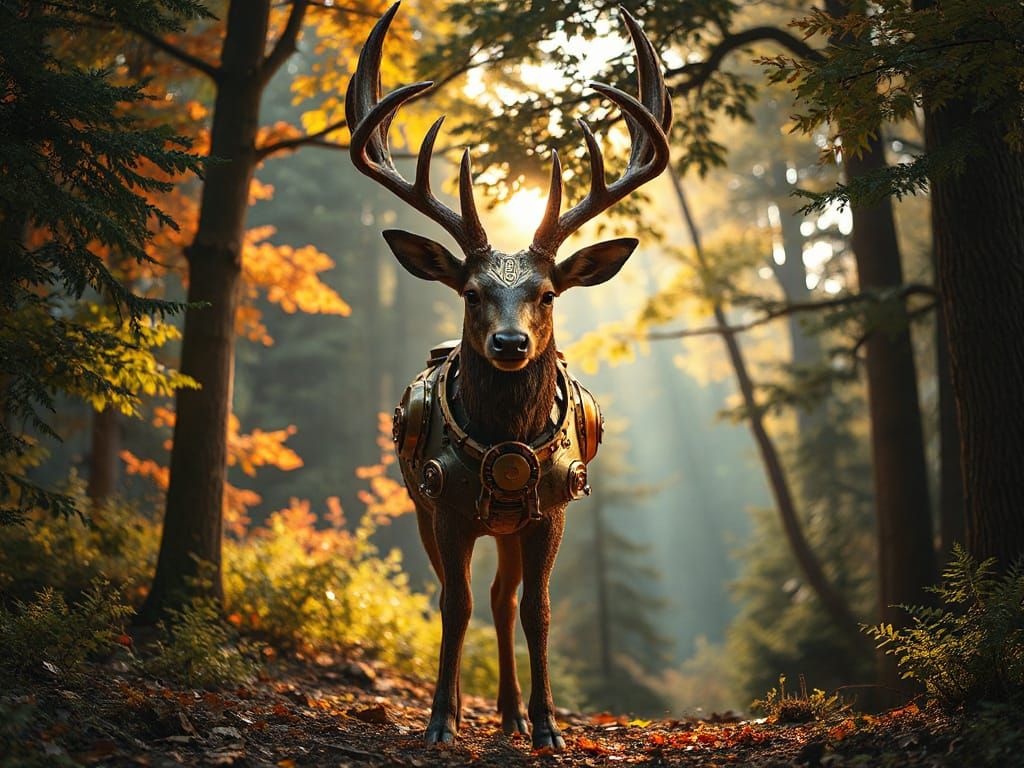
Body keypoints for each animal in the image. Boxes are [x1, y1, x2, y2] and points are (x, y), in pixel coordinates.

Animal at [345, 2, 671, 751]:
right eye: (471, 293)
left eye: (547, 294)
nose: (510, 341)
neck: (503, 443)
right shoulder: (445, 504)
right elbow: (453, 604)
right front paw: (441, 720)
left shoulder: (551, 509)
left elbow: (537, 611)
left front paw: (549, 727)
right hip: (426, 507)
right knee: (471, 597)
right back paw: (484, 710)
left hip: (513, 522)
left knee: (504, 599)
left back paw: (514, 714)